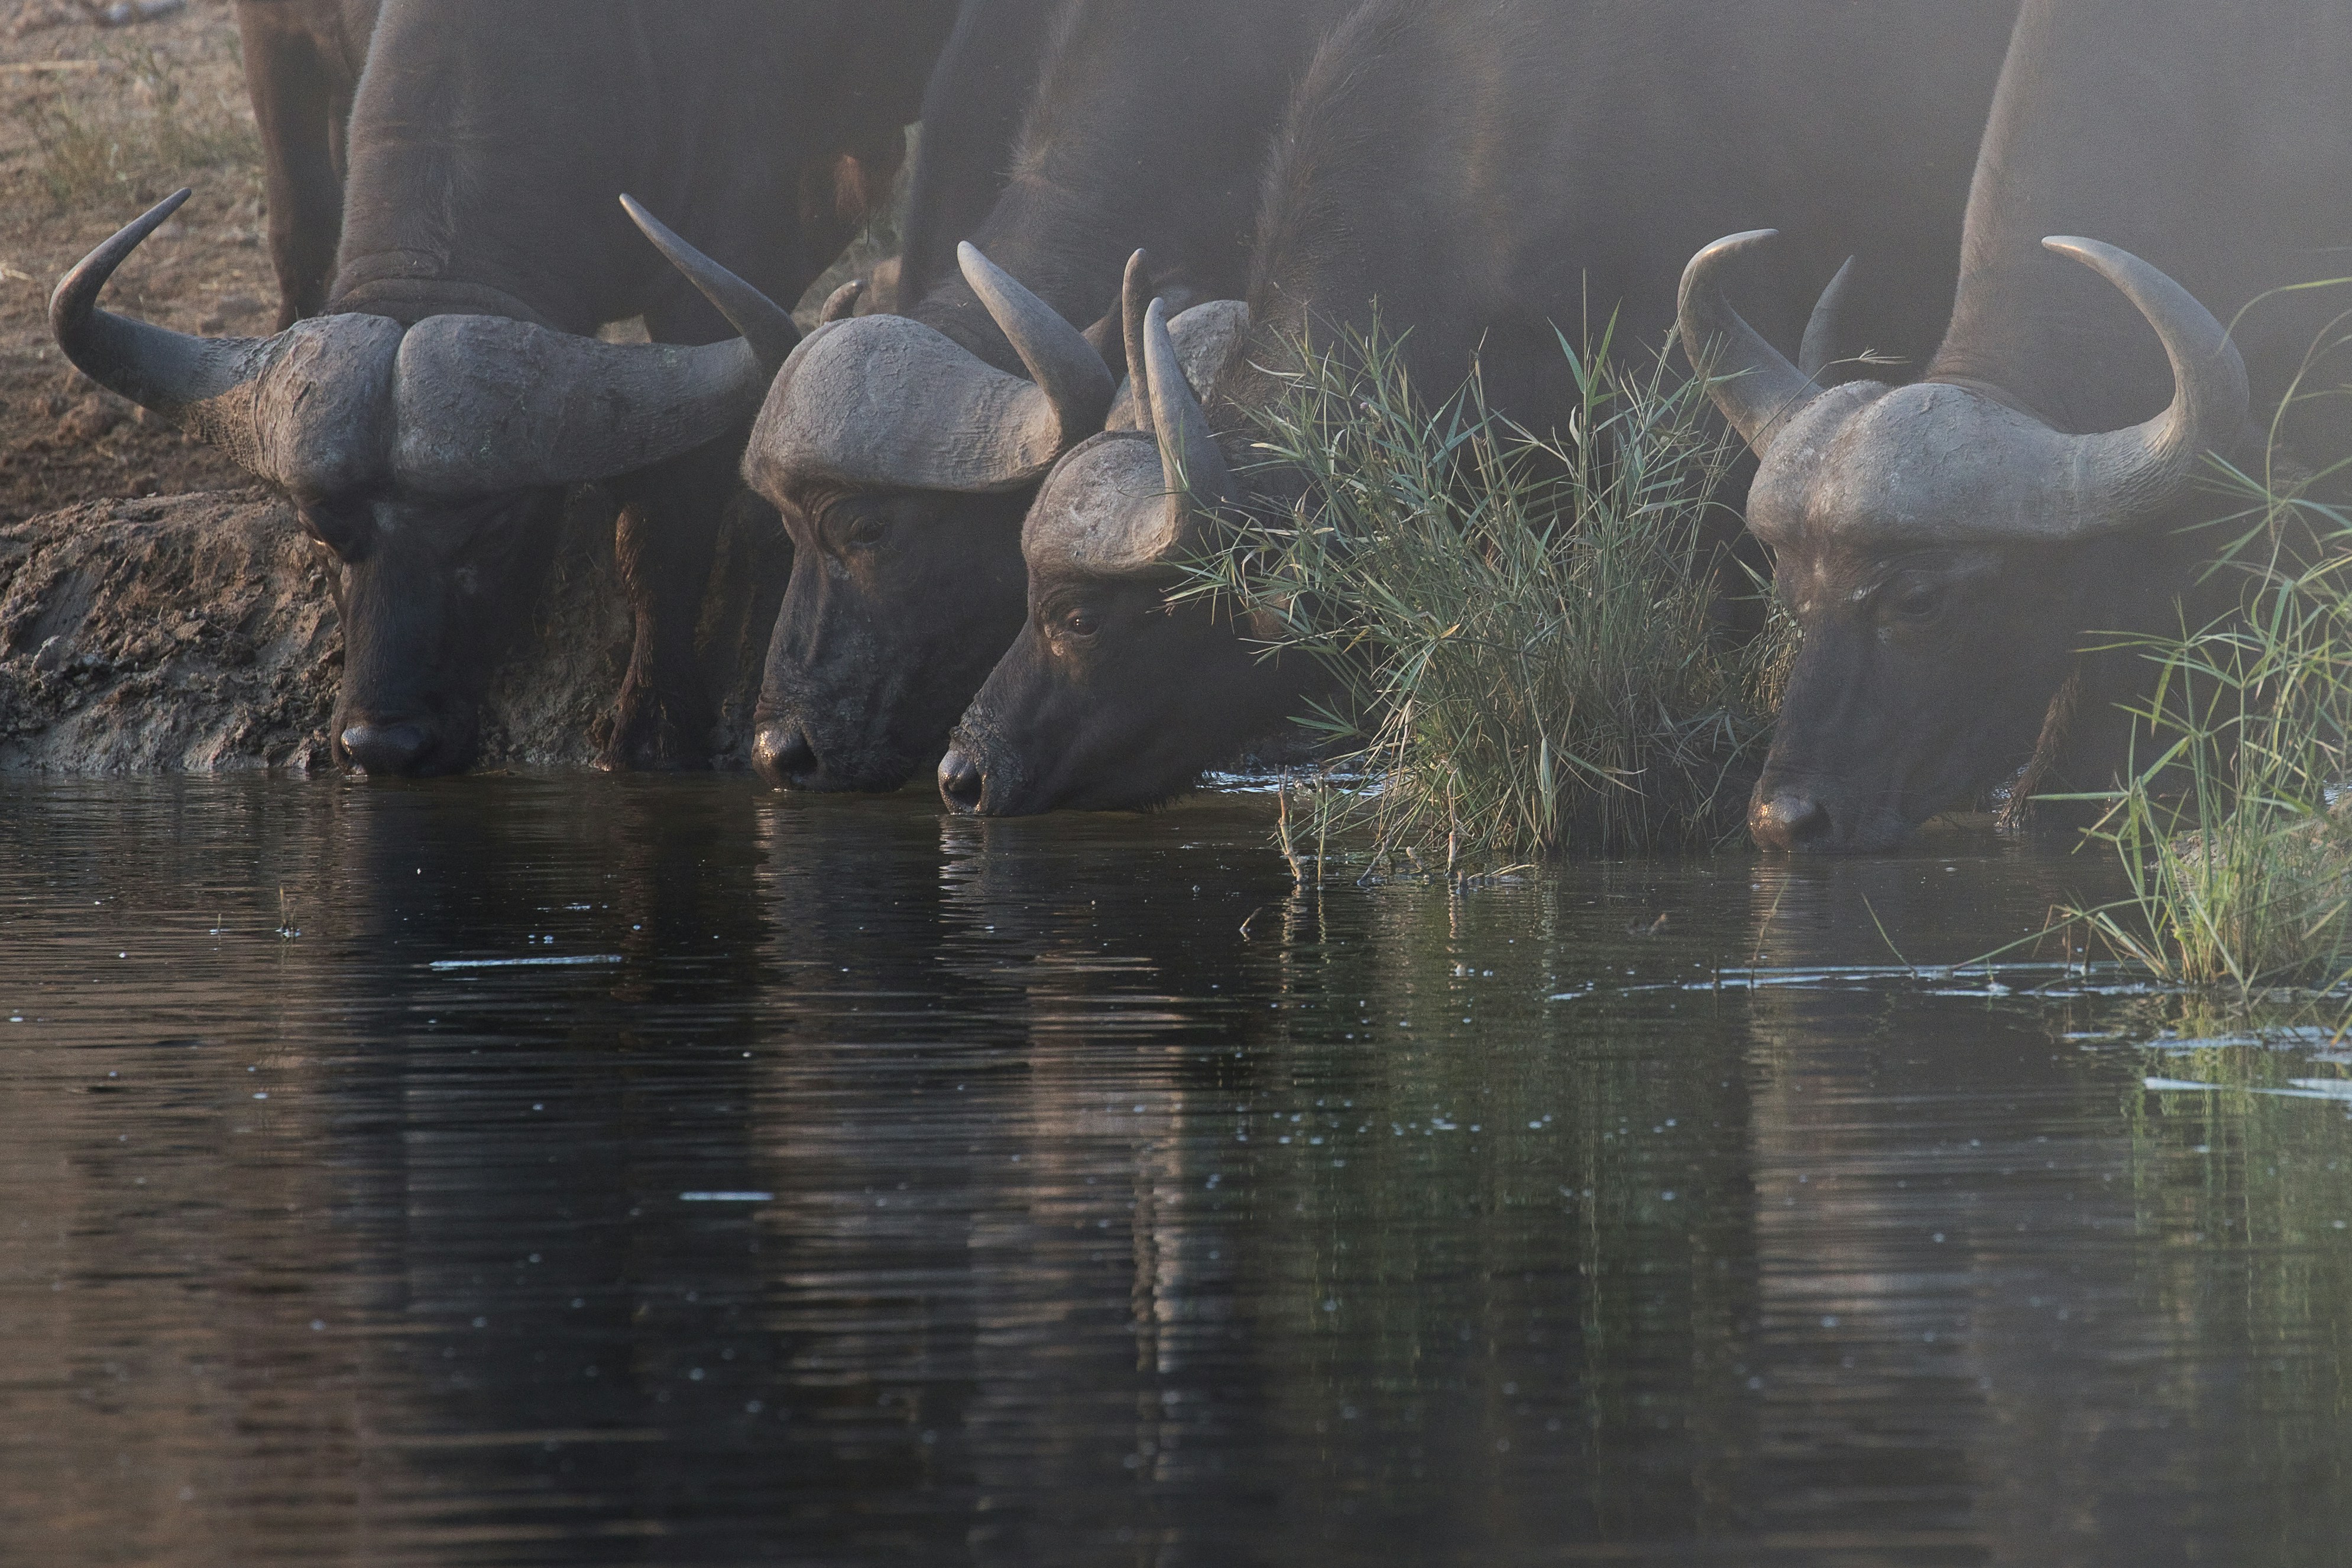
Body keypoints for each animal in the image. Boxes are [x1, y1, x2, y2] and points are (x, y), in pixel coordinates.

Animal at [53, 0, 967, 775]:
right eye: (320, 532)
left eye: (495, 531)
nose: (385, 743)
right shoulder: (274, 44)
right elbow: (298, 225)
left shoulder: (732, 244)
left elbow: (662, 524)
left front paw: (654, 725)